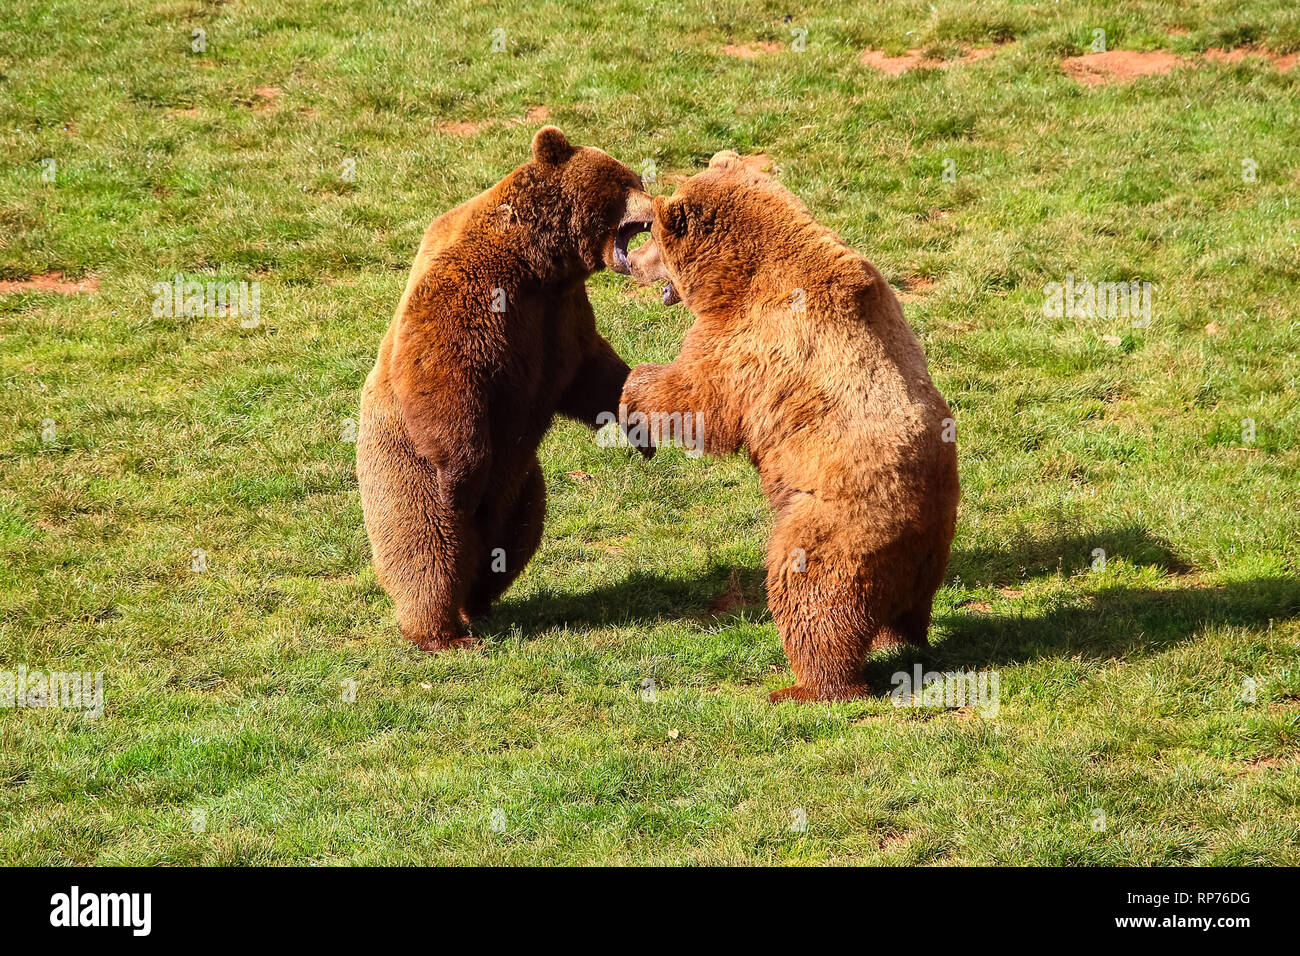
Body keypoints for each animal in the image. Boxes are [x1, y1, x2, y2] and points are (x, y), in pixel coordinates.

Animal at [356, 127, 655, 652]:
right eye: (624, 181)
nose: (656, 206)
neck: (539, 264)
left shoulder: (559, 315)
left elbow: (590, 372)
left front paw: (644, 427)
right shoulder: (474, 295)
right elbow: (442, 374)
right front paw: (461, 478)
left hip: (521, 484)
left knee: (516, 537)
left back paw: (479, 603)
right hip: (403, 464)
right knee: (426, 546)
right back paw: (440, 631)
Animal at [619, 151, 960, 702]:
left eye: (653, 234)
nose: (630, 262)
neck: (738, 274)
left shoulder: (756, 339)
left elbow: (699, 396)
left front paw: (634, 387)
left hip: (833, 524)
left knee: (809, 595)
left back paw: (808, 686)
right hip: (927, 556)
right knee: (904, 612)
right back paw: (899, 640)